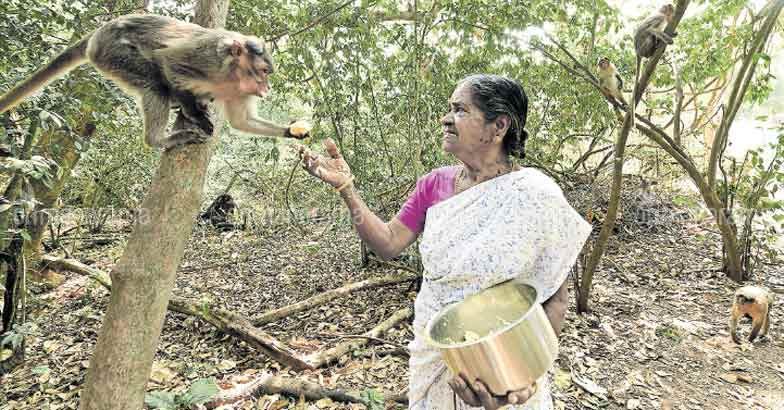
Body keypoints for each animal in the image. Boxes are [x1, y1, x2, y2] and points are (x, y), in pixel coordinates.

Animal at [0, 14, 310, 150]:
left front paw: (292, 131)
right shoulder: (209, 57)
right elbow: (168, 62)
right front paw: (194, 112)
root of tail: (101, 31)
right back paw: (159, 138)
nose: (266, 87)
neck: (231, 76)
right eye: (263, 71)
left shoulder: (240, 92)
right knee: (155, 84)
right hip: (111, 52)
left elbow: (241, 122)